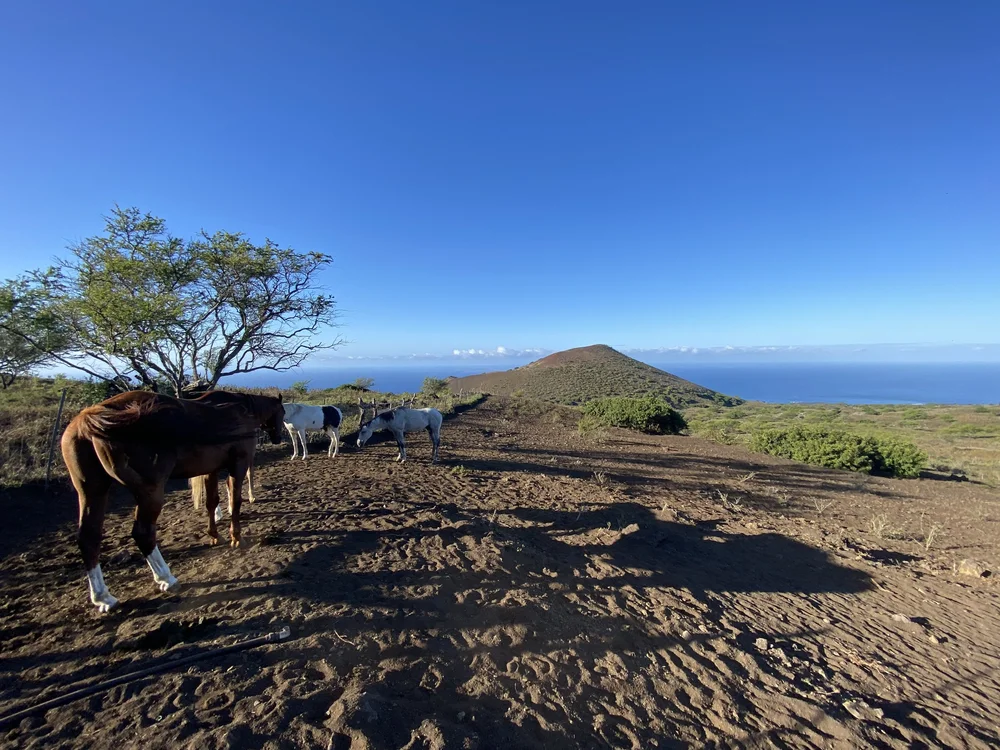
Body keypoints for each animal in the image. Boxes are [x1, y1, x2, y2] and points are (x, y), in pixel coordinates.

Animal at [60, 390, 284, 613]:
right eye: (281, 412)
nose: (278, 437)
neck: (242, 410)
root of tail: (88, 421)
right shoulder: (238, 464)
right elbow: (235, 502)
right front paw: (236, 538)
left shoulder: (211, 470)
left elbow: (211, 502)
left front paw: (214, 536)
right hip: (150, 491)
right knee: (143, 533)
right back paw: (166, 578)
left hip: (93, 491)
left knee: (89, 539)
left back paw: (103, 598)